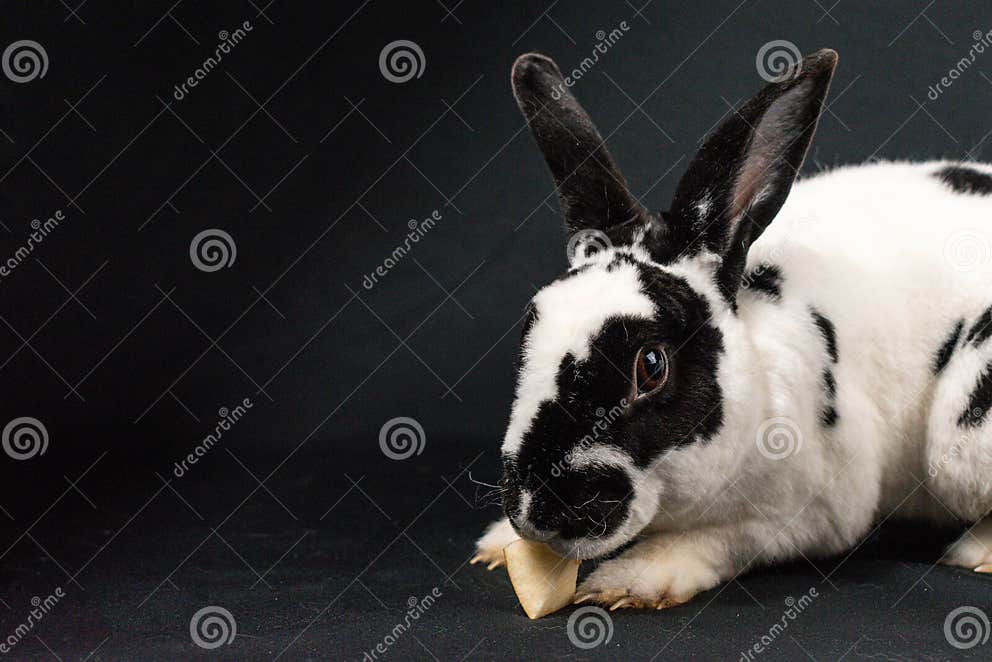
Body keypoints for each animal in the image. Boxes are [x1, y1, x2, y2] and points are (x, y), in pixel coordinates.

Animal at [471, 47, 992, 610]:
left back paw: (974, 554)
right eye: (530, 330)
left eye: (650, 366)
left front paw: (630, 581)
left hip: (960, 439)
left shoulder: (812, 511)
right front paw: (496, 545)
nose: (535, 513)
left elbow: (720, 539)